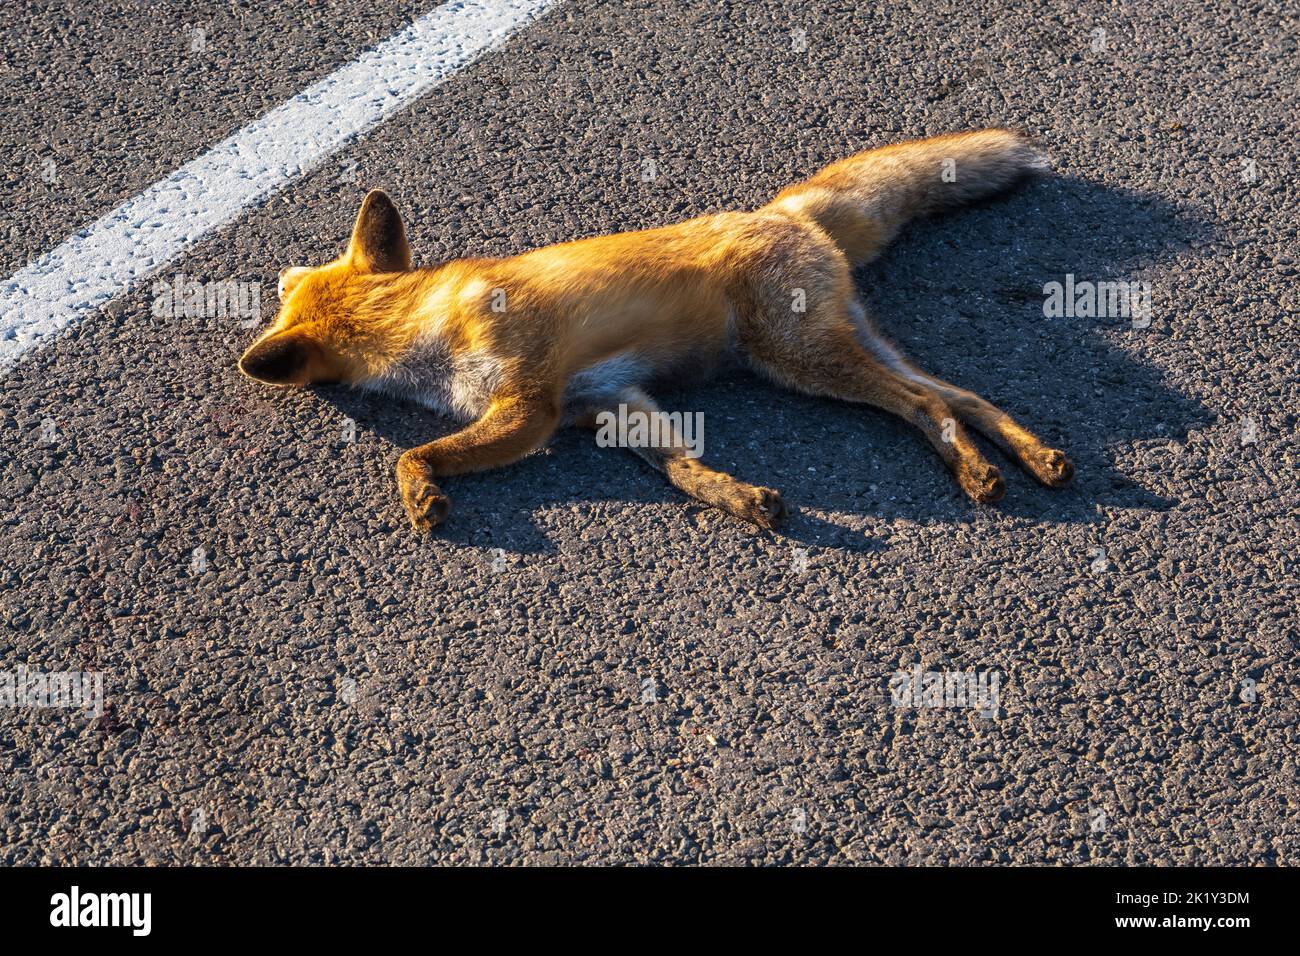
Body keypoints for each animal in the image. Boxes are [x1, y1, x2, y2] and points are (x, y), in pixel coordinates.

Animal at [239, 128, 1073, 531]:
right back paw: (1031, 460)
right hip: (846, 342)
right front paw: (739, 501)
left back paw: (978, 474)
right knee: (963, 397)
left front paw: (421, 495)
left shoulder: (532, 406)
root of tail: (779, 208)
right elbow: (681, 471)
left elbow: (411, 454)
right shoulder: (611, 404)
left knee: (927, 403)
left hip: (799, 357)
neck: (426, 319)